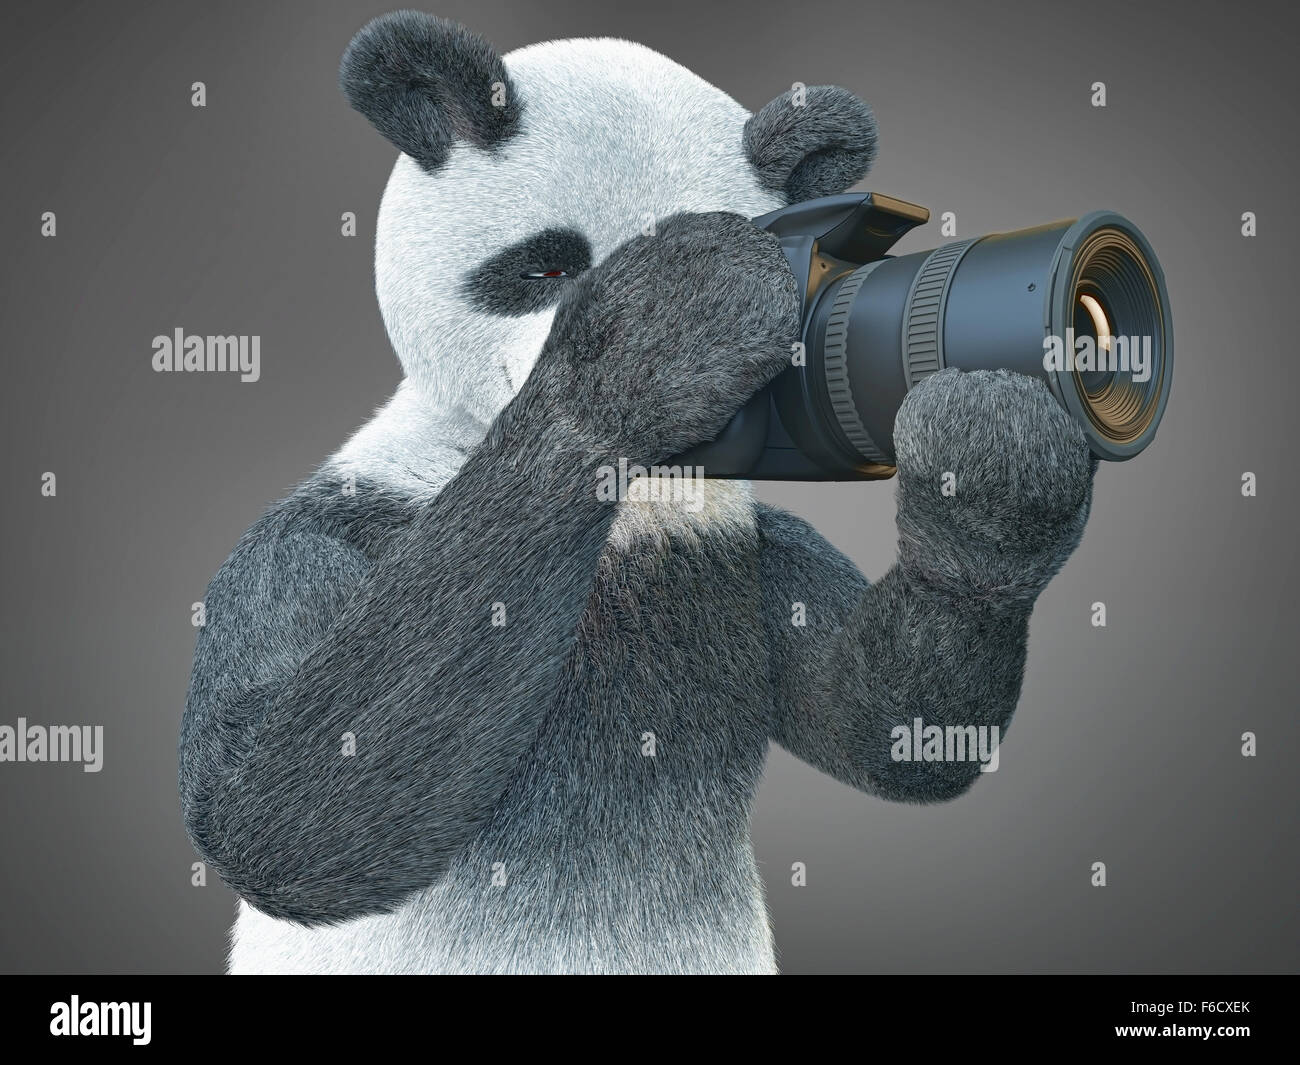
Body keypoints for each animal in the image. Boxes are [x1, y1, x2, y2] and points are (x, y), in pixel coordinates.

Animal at [179, 12, 1095, 974]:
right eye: (543, 269)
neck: (627, 506)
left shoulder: (751, 548)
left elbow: (887, 730)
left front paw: (996, 452)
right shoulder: (340, 526)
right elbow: (280, 812)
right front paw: (673, 319)